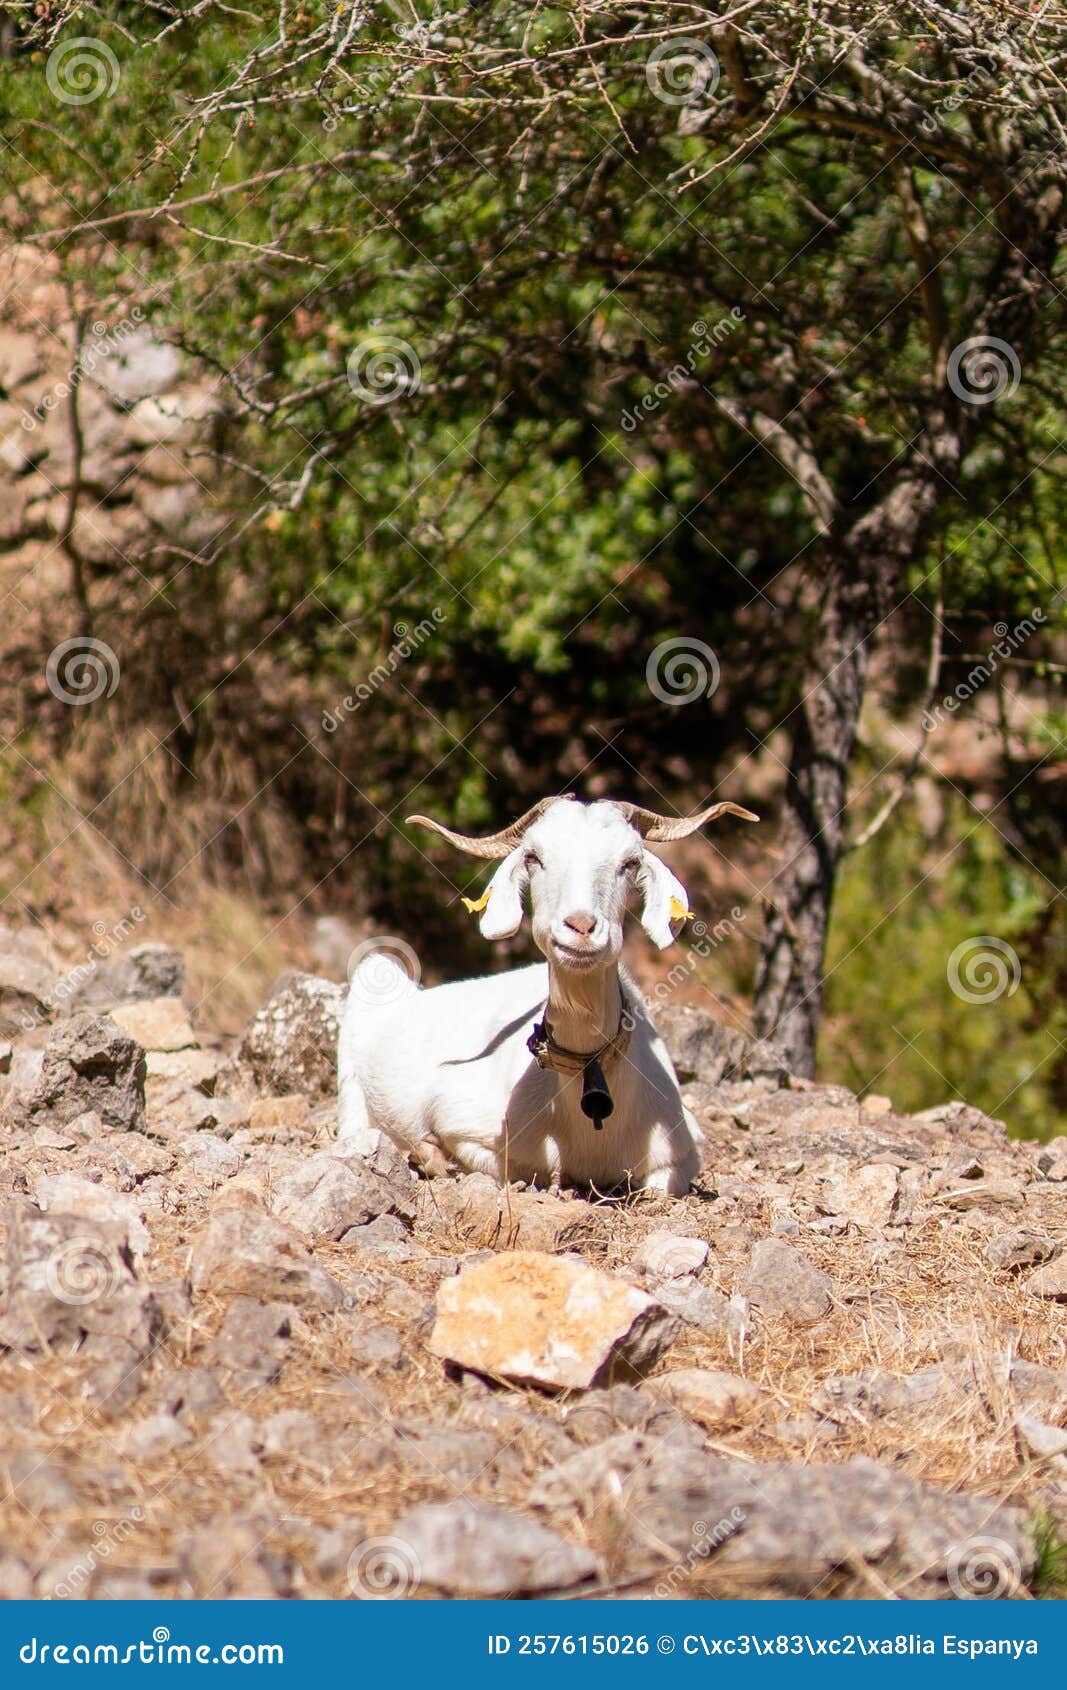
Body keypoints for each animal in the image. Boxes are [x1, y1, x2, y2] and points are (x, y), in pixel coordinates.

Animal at [337, 795, 756, 1195]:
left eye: (630, 861)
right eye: (534, 857)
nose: (581, 926)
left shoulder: (685, 1152)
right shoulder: (461, 1124)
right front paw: (434, 1156)